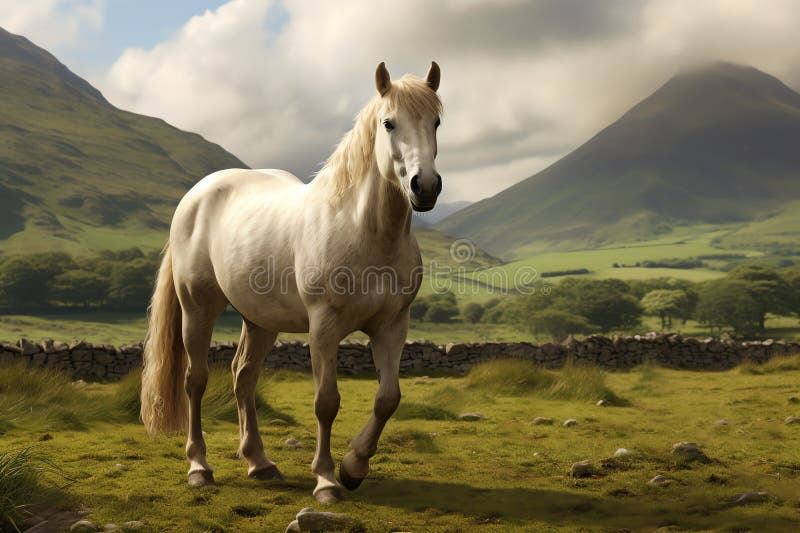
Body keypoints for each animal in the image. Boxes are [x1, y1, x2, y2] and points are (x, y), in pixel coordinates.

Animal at [140, 62, 443, 503]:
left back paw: (259, 462)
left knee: (243, 377)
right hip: (197, 309)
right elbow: (326, 402)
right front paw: (327, 480)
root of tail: (195, 196)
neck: (363, 230)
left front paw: (353, 467)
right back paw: (199, 467)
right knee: (195, 381)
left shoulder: (392, 327)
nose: (426, 186)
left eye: (436, 121)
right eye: (389, 123)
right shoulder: (324, 328)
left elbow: (388, 398)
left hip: (260, 321)